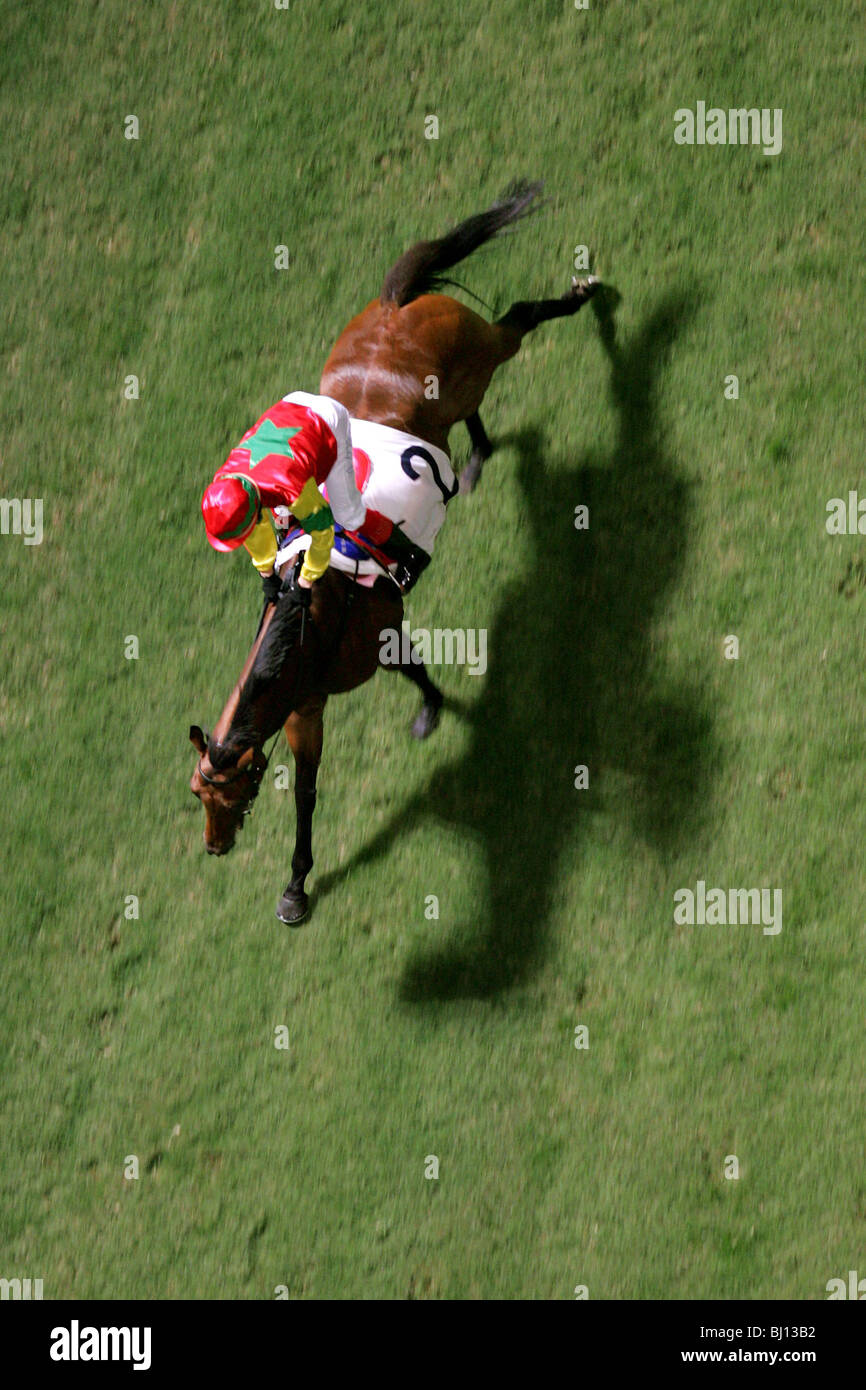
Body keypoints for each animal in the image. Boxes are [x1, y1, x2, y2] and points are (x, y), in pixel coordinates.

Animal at [190, 180, 599, 924]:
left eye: (227, 795)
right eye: (199, 795)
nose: (214, 845)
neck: (309, 625)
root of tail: (391, 304)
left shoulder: (376, 632)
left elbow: (411, 672)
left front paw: (433, 707)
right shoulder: (307, 710)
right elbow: (308, 791)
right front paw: (297, 883)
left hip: (483, 350)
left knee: (520, 317)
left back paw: (586, 295)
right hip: (452, 393)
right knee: (468, 416)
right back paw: (477, 455)